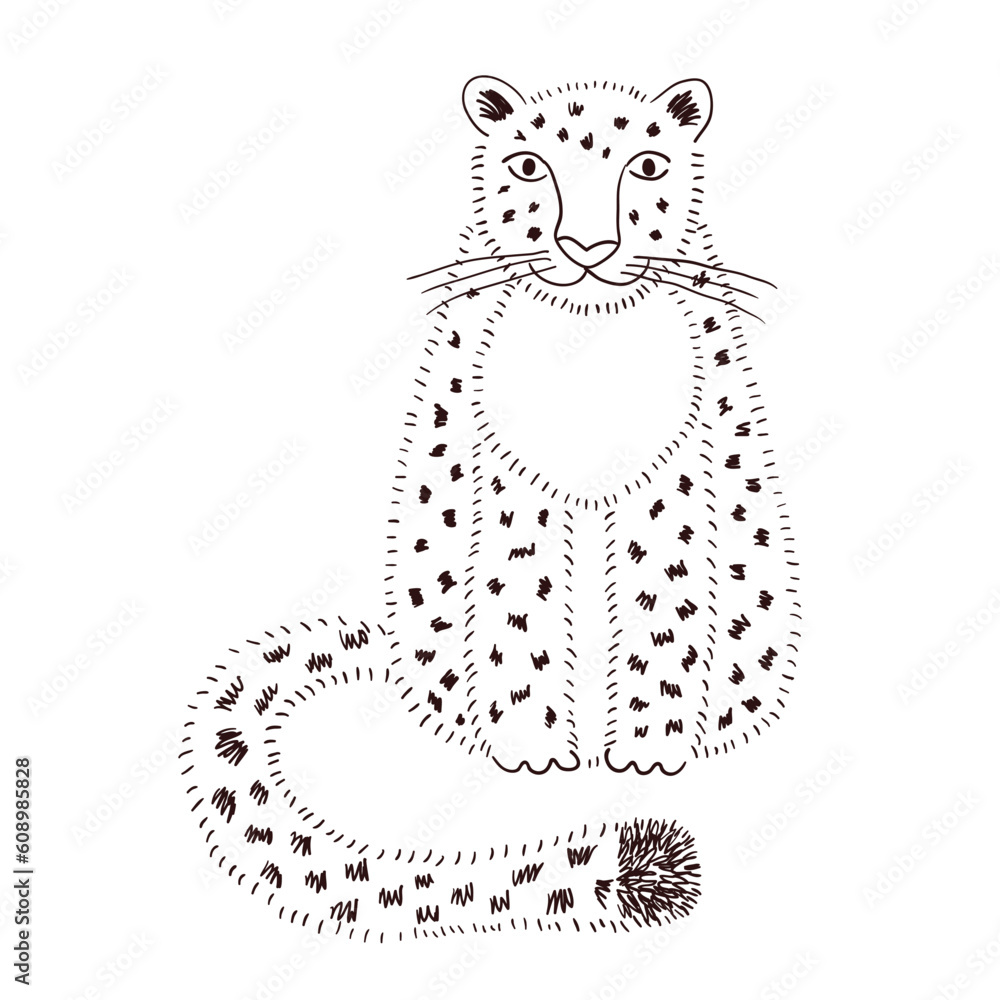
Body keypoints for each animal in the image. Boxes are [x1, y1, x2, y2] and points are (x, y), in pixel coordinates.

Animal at [179, 75, 802, 943]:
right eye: (529, 165)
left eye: (646, 165)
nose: (587, 248)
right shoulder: (512, 496)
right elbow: (516, 612)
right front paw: (532, 743)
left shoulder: (668, 496)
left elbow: (665, 616)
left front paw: (652, 743)